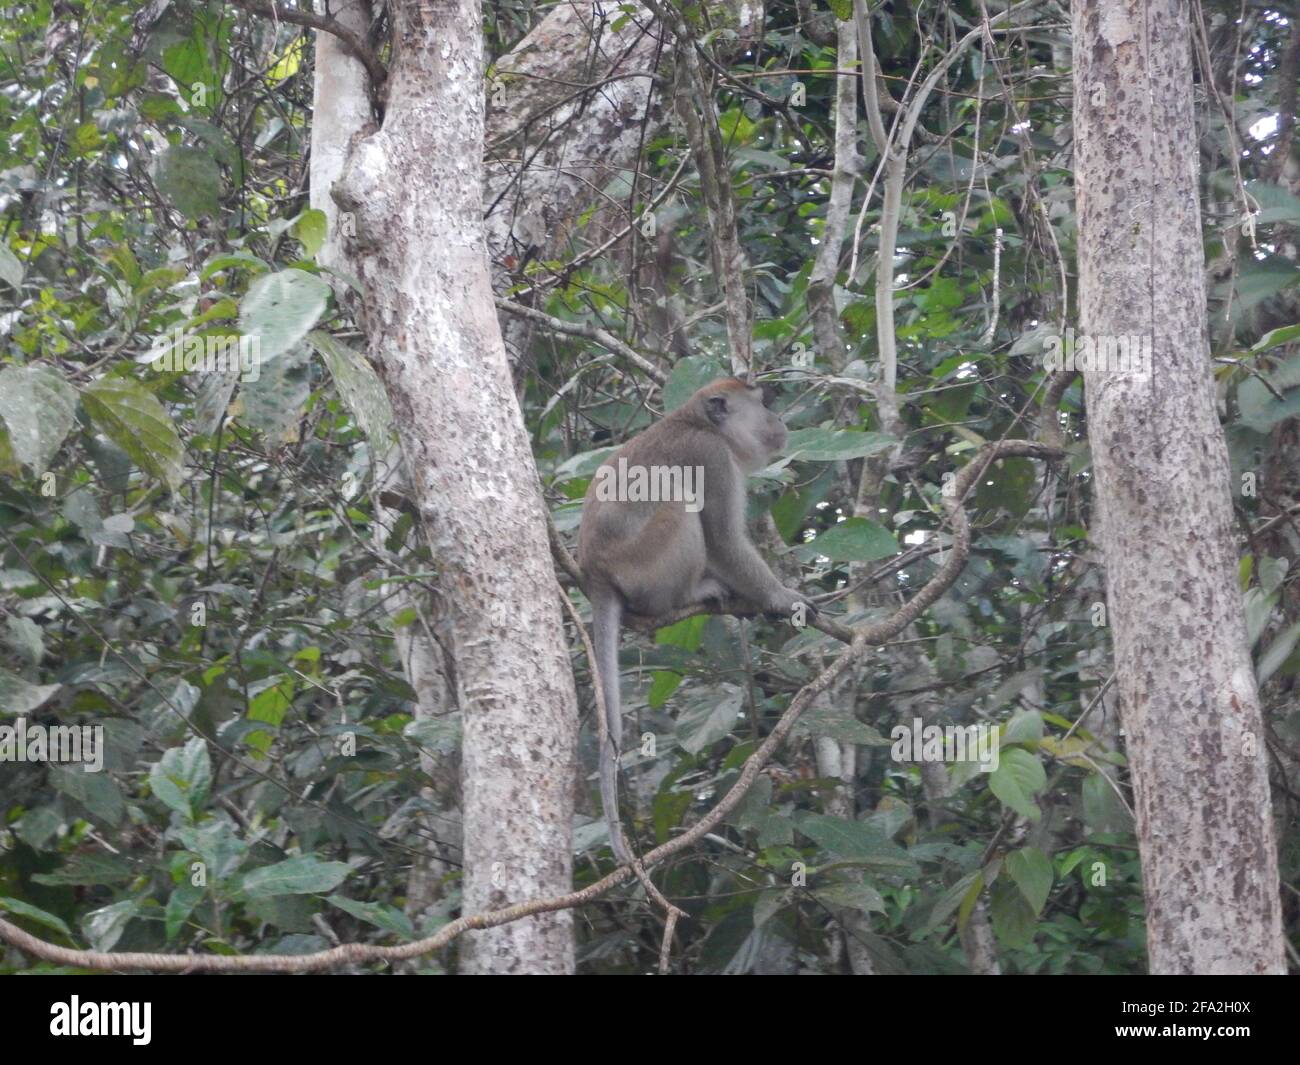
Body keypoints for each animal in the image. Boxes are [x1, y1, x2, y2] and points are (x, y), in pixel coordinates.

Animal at [577, 377, 813, 864]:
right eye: (761, 404)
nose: (779, 419)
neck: (699, 423)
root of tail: (594, 574)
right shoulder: (712, 458)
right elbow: (722, 538)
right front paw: (781, 598)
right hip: (645, 565)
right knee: (680, 505)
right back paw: (690, 593)